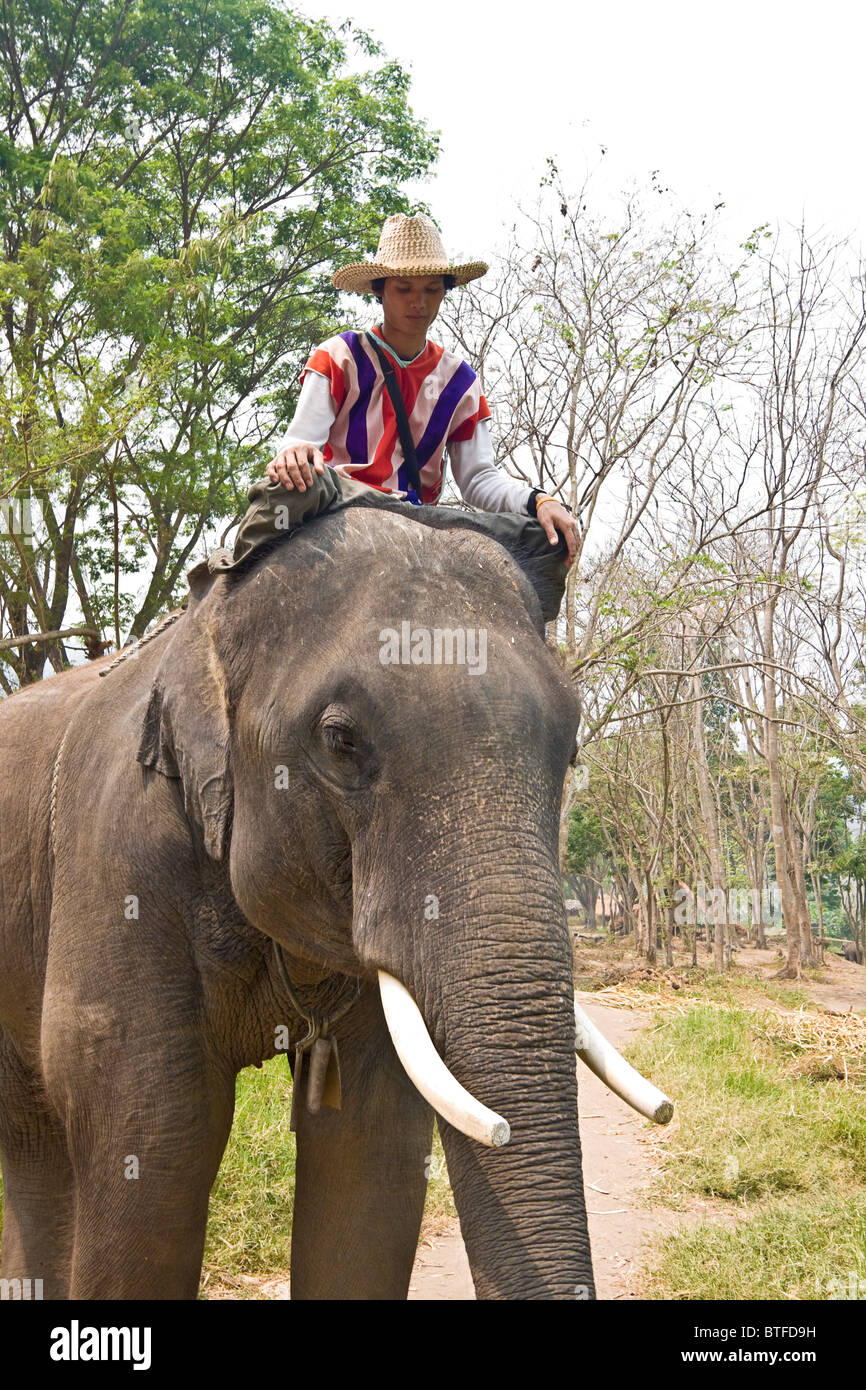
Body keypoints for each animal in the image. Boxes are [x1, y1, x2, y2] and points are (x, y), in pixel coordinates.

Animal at [0, 497, 668, 1300]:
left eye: (570, 747)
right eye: (341, 740)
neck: (211, 618)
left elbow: (370, 1148)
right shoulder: (118, 855)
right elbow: (155, 1140)